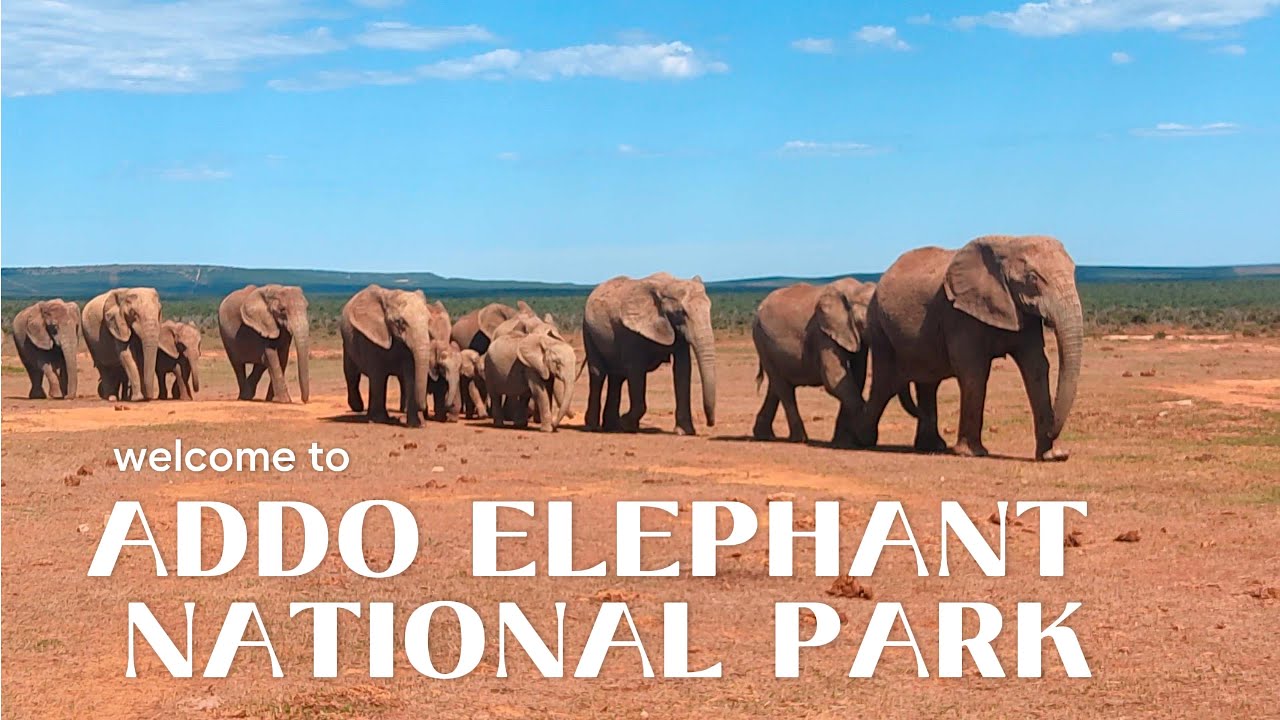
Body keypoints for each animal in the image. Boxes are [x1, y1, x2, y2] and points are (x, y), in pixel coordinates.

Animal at [341, 285, 445, 427]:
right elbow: (378, 374)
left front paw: (417, 424)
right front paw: (379, 420)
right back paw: (358, 408)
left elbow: (411, 373)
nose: (424, 408)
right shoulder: (372, 335)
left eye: (429, 321)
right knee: (351, 374)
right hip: (347, 343)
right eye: (399, 322)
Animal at [582, 273, 716, 435]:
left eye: (709, 308)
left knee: (617, 377)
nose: (710, 424)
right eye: (681, 312)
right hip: (588, 330)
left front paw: (684, 432)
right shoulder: (631, 331)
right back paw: (593, 427)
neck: (667, 286)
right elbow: (635, 370)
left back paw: (613, 427)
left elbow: (682, 369)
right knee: (598, 373)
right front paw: (627, 424)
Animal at [855, 235, 1083, 462]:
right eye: (1033, 278)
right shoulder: (960, 314)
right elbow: (974, 372)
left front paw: (1053, 456)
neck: (1008, 243)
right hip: (879, 330)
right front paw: (971, 453)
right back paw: (861, 441)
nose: (1052, 430)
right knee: (885, 385)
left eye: (1074, 272)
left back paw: (931, 446)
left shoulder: (1022, 312)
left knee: (927, 384)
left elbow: (1035, 367)